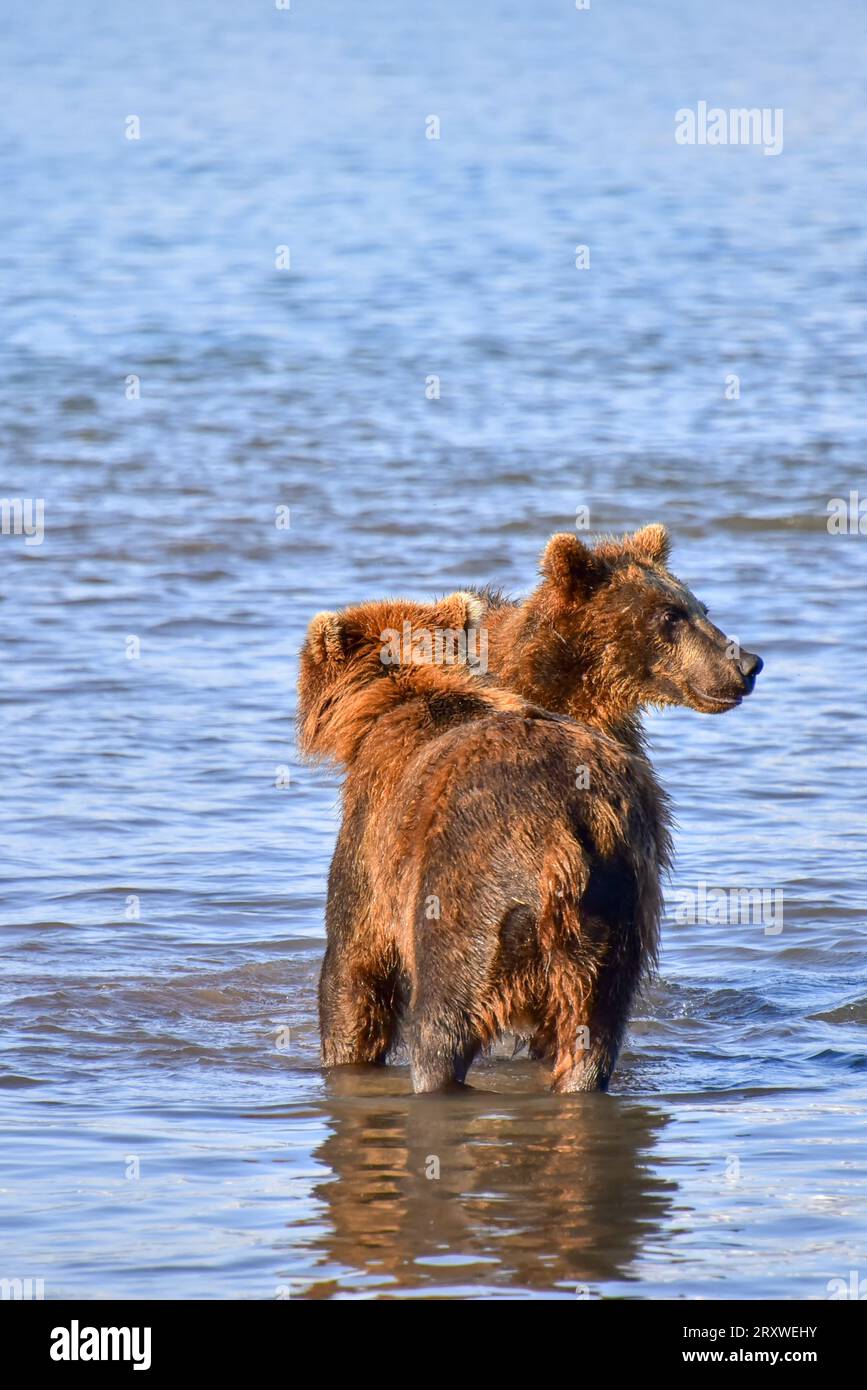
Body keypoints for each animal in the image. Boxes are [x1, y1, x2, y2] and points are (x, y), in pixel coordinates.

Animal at [297, 593, 670, 1093]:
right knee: (591, 1034)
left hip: (471, 883)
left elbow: (353, 965)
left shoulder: (372, 832)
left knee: (441, 1018)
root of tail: (570, 816)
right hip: (619, 902)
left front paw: (343, 1057)